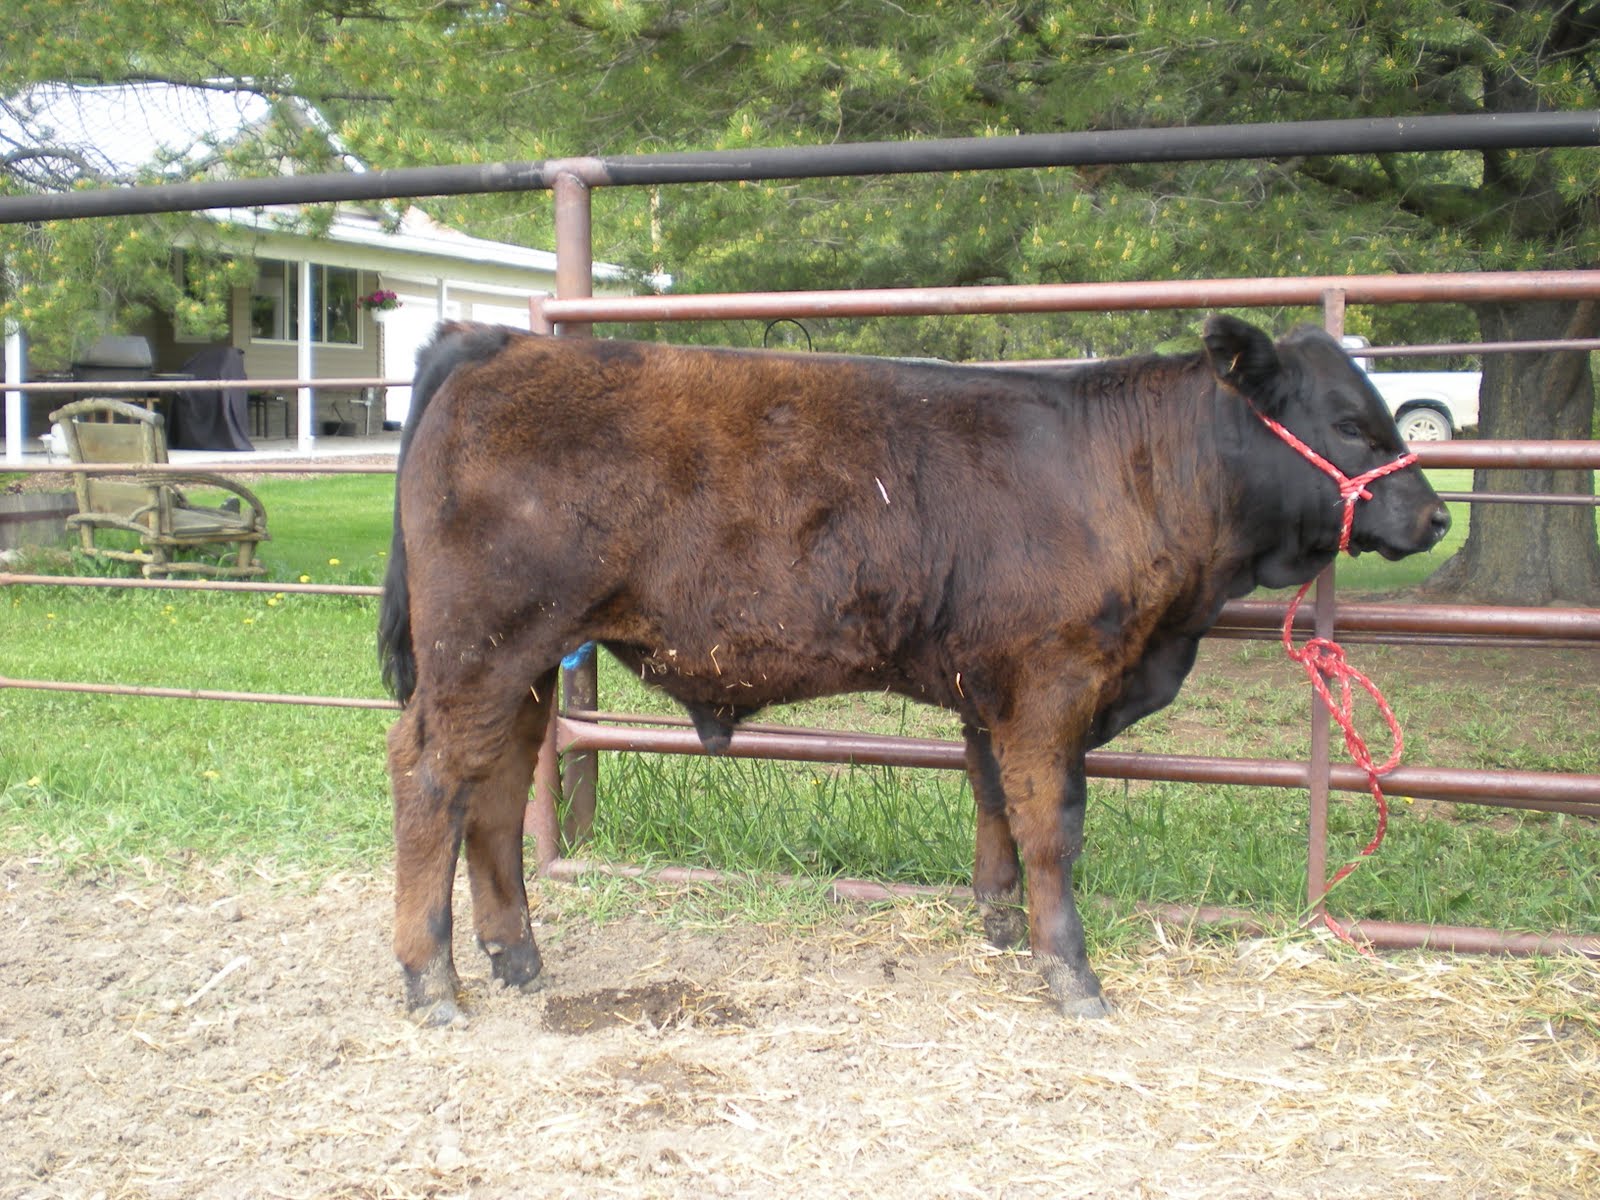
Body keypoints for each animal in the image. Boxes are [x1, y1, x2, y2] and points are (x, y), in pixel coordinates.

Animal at [378, 315, 1449, 1026]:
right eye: (1352, 424)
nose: (1436, 516)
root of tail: (498, 341)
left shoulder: (993, 689)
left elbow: (993, 803)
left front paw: (1000, 922)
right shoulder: (1053, 682)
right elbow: (1055, 826)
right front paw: (1073, 974)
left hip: (525, 662)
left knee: (496, 790)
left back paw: (516, 956)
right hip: (481, 648)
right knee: (429, 775)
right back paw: (433, 982)